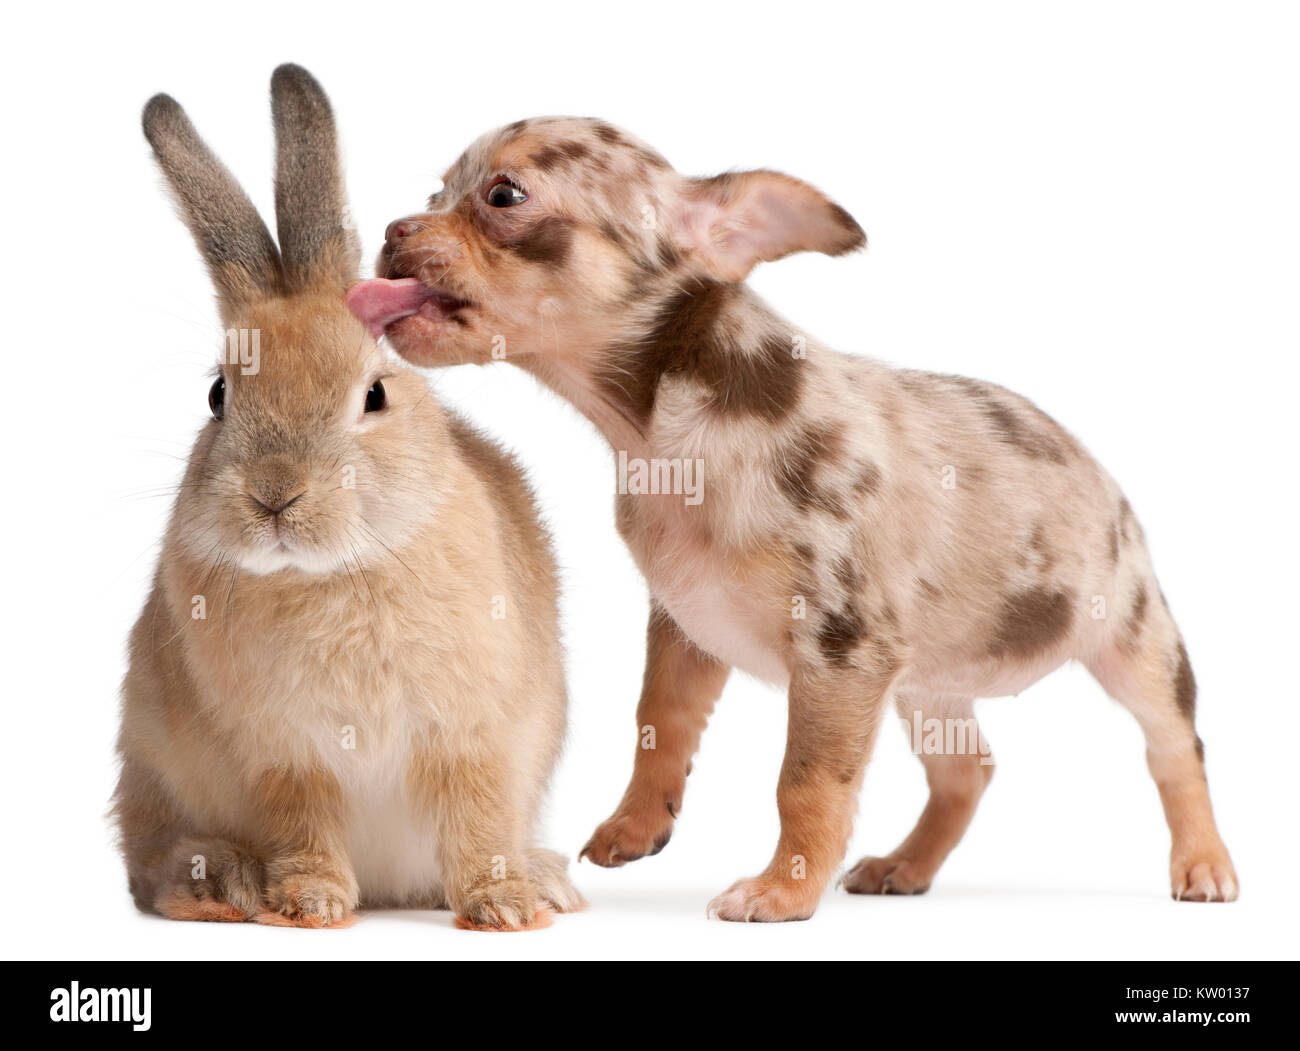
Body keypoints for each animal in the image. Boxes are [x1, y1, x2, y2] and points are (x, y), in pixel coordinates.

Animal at [112, 69, 581, 931]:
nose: (275, 495)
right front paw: (309, 903)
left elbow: (478, 818)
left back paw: (546, 878)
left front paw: (505, 906)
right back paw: (218, 882)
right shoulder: (284, 754)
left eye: (374, 395)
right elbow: (303, 823)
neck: (336, 572)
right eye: (219, 396)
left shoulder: (474, 735)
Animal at [345, 116, 1238, 921]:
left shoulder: (839, 653)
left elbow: (807, 782)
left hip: (1133, 635)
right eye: (436, 192)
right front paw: (637, 823)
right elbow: (659, 722)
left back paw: (1203, 862)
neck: (657, 436)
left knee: (1175, 747)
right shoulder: (688, 623)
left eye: (503, 195)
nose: (392, 228)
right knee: (969, 770)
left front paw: (784, 891)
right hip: (930, 686)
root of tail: (1089, 458)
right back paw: (906, 866)